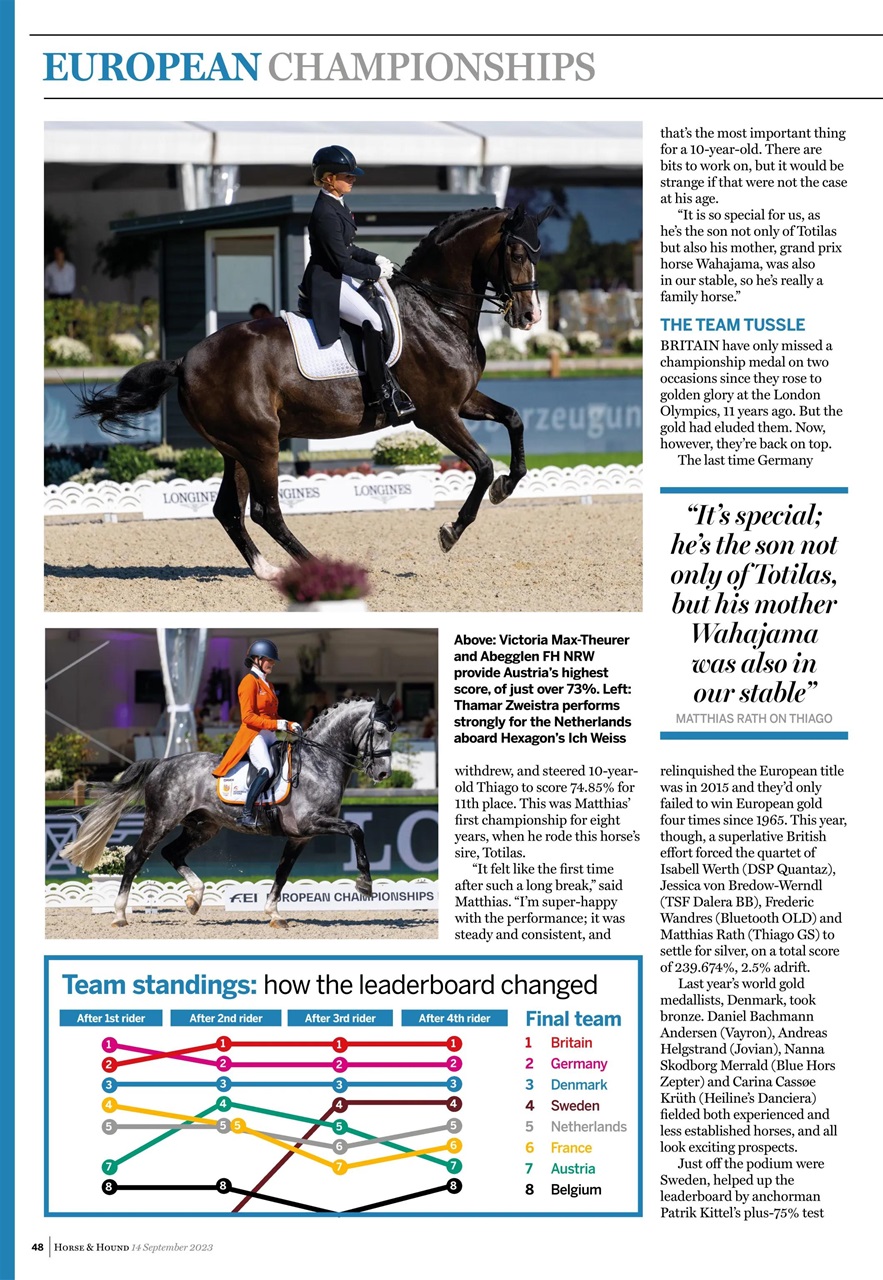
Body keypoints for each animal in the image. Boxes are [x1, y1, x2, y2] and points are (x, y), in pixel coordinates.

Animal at [62, 694, 397, 929]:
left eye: (393, 731)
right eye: (379, 731)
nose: (383, 773)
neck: (318, 764)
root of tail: (162, 762)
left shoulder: (300, 836)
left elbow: (282, 872)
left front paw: (274, 914)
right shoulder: (311, 823)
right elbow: (356, 829)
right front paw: (365, 883)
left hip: (204, 826)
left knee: (173, 853)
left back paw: (195, 900)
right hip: (160, 820)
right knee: (135, 857)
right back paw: (120, 915)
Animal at [76, 204, 553, 580]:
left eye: (537, 254)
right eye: (514, 254)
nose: (530, 316)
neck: (436, 309)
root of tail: (185, 361)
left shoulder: (463, 401)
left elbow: (514, 419)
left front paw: (508, 486)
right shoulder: (435, 414)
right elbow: (482, 465)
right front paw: (451, 531)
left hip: (237, 448)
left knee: (229, 510)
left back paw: (266, 570)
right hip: (260, 444)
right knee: (265, 511)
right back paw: (316, 566)